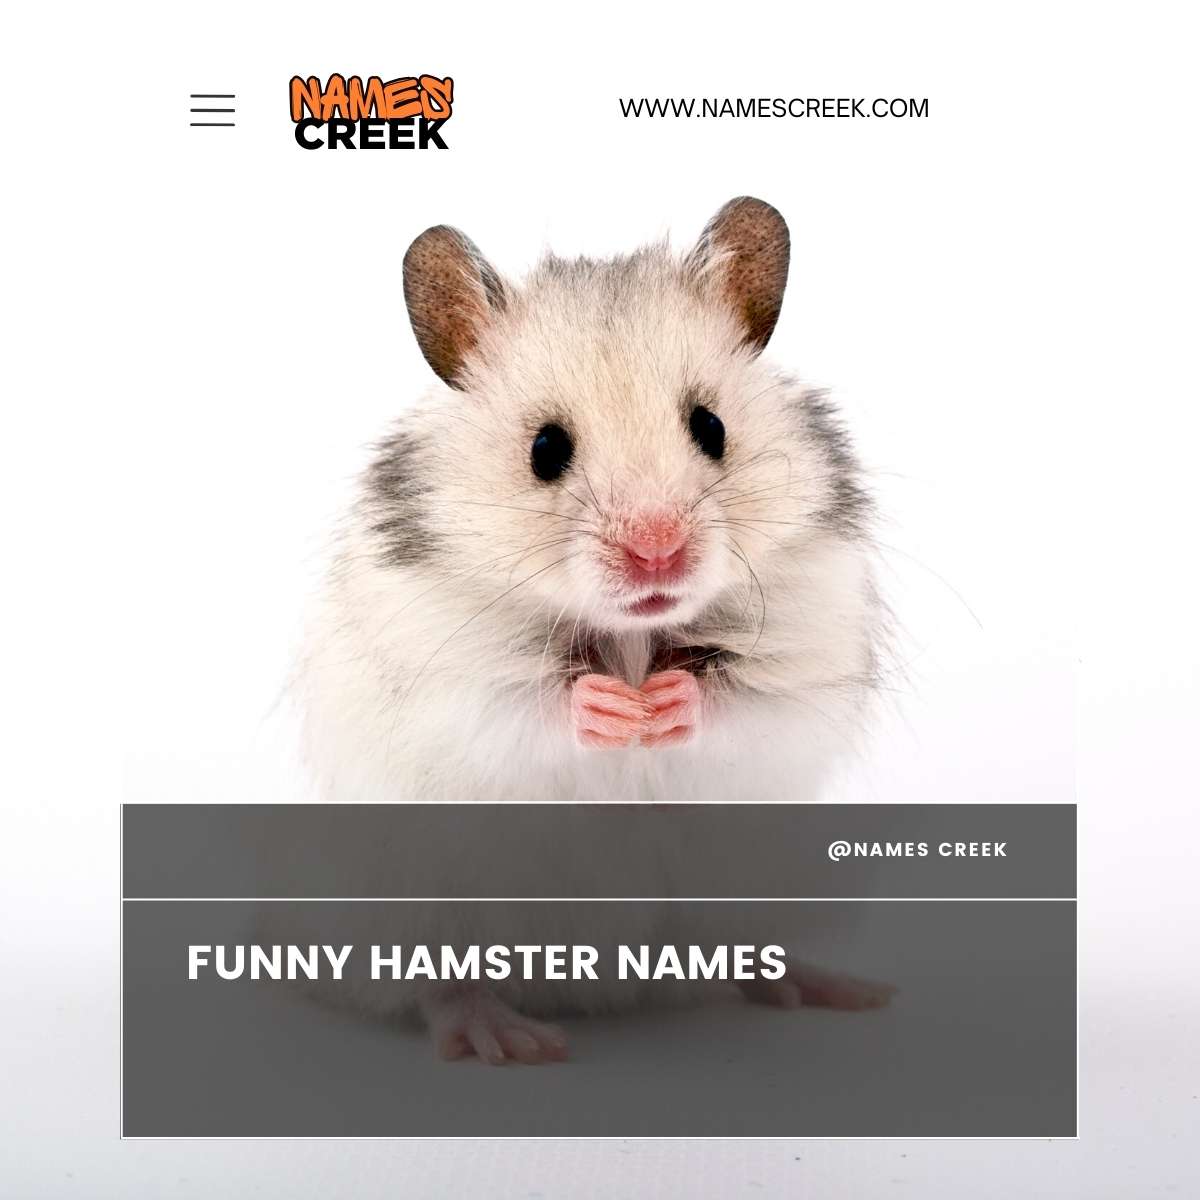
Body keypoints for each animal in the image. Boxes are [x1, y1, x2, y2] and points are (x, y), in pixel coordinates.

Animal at [289, 198, 893, 1063]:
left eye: (711, 427)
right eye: (546, 449)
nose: (657, 552)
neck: (631, 635)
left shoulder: (807, 652)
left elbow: (747, 704)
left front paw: (665, 704)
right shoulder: (447, 678)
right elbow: (524, 706)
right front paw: (612, 709)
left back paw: (838, 988)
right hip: (405, 903)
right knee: (437, 985)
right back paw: (508, 1037)